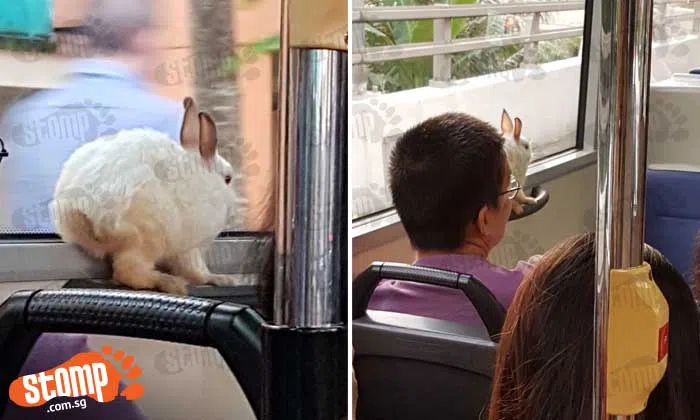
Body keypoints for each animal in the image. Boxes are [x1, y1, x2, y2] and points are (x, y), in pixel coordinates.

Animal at [49, 97, 239, 295]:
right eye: (227, 179)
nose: (234, 209)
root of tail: (77, 209)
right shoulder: (190, 246)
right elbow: (196, 270)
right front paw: (221, 279)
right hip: (147, 236)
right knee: (128, 271)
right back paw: (170, 282)